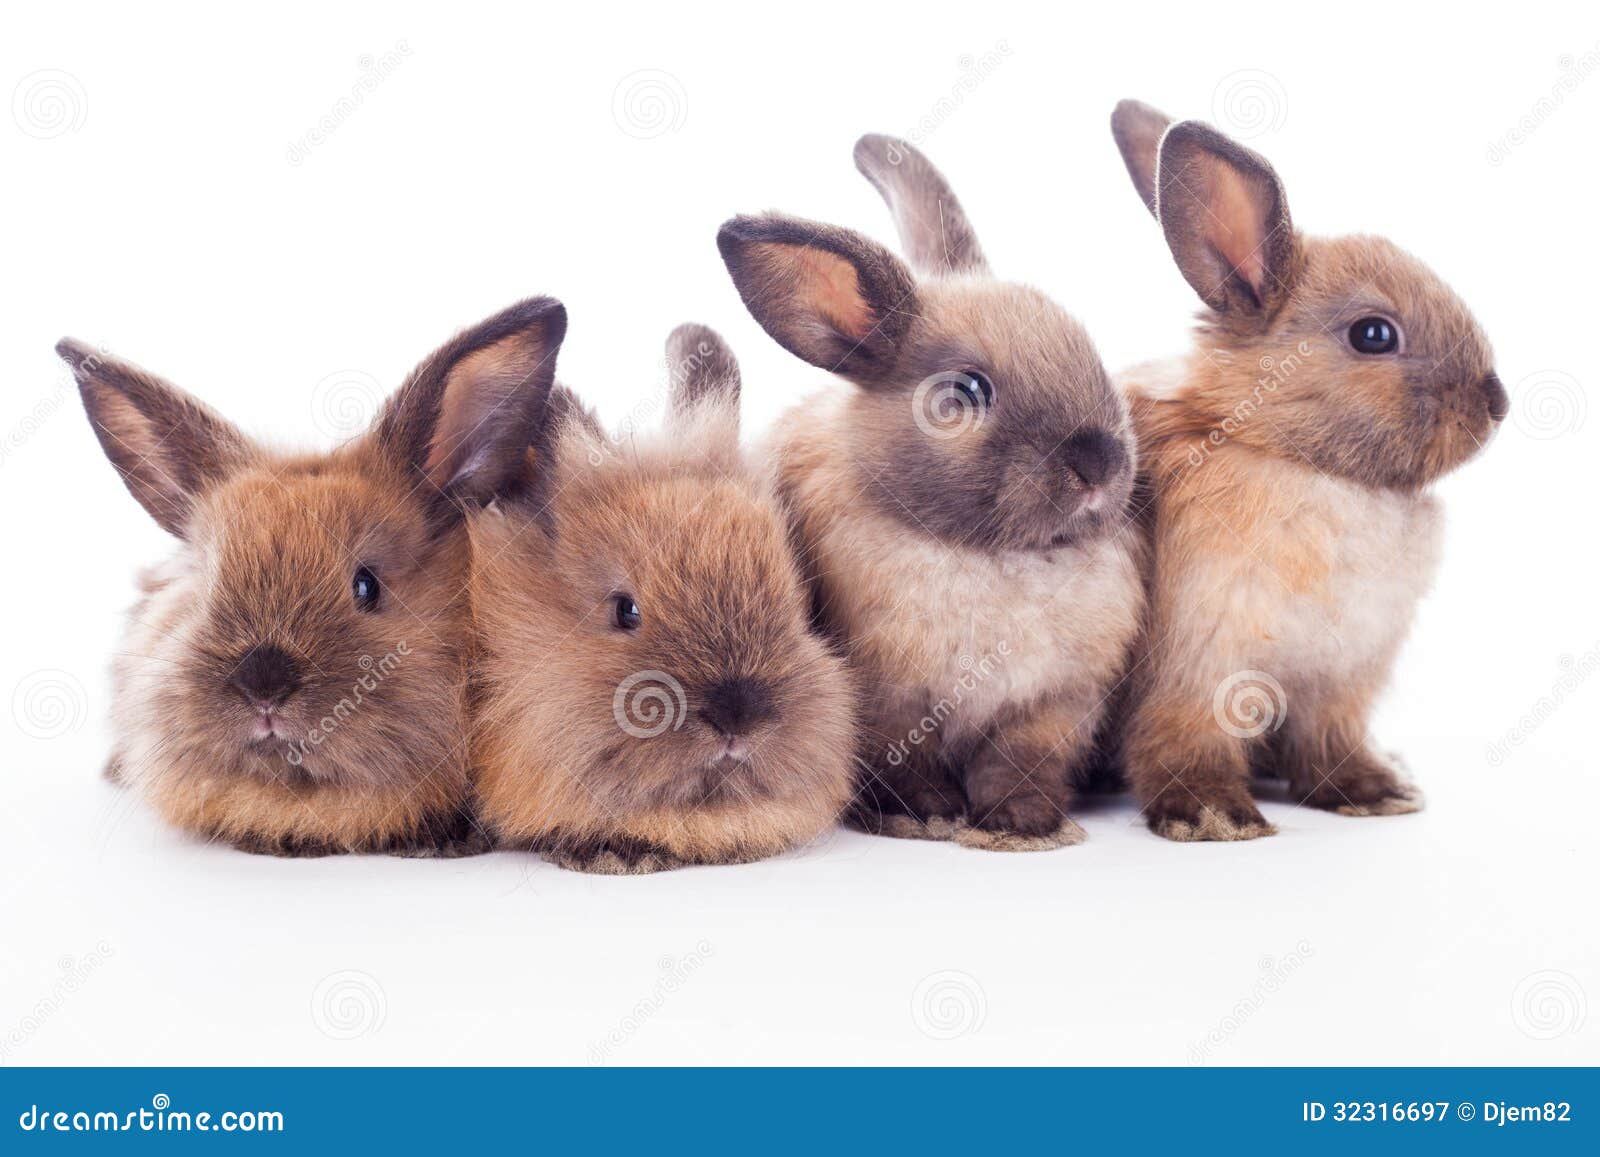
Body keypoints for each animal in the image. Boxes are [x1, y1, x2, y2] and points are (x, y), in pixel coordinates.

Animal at [715, 134, 1146, 851]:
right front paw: (926, 815)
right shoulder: (891, 706)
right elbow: (907, 764)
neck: (990, 557)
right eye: (964, 393)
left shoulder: (1049, 707)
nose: (1099, 461)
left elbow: (1019, 767)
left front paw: (1024, 822)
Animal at [1107, 99, 1508, 841]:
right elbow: (1181, 738)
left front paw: (1376, 792)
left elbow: (1332, 743)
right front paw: (1214, 815)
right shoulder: (1200, 668)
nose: (1497, 402)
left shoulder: (1340, 682)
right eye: (1373, 334)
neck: (1295, 458)